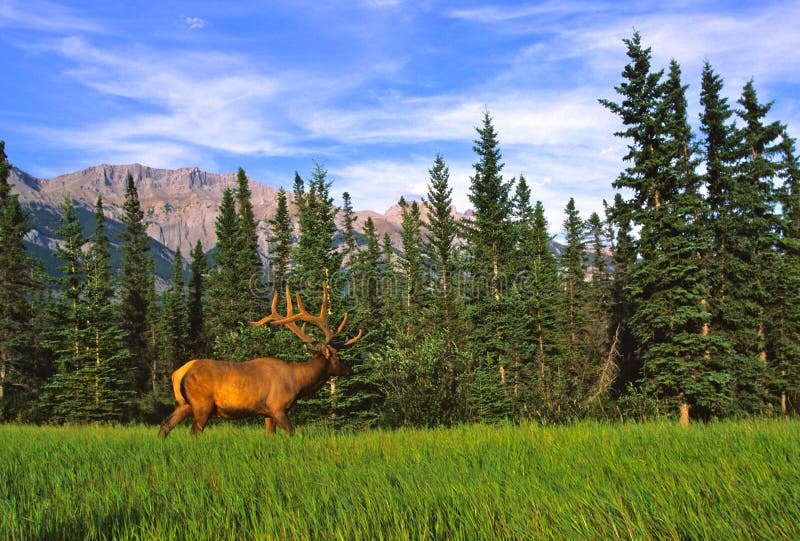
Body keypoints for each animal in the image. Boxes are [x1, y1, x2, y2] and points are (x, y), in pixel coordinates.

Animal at [158, 284, 362, 437]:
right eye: (337, 356)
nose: (351, 370)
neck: (298, 383)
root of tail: (179, 373)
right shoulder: (278, 407)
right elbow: (292, 432)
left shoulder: (267, 413)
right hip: (202, 405)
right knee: (193, 432)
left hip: (183, 404)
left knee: (164, 425)